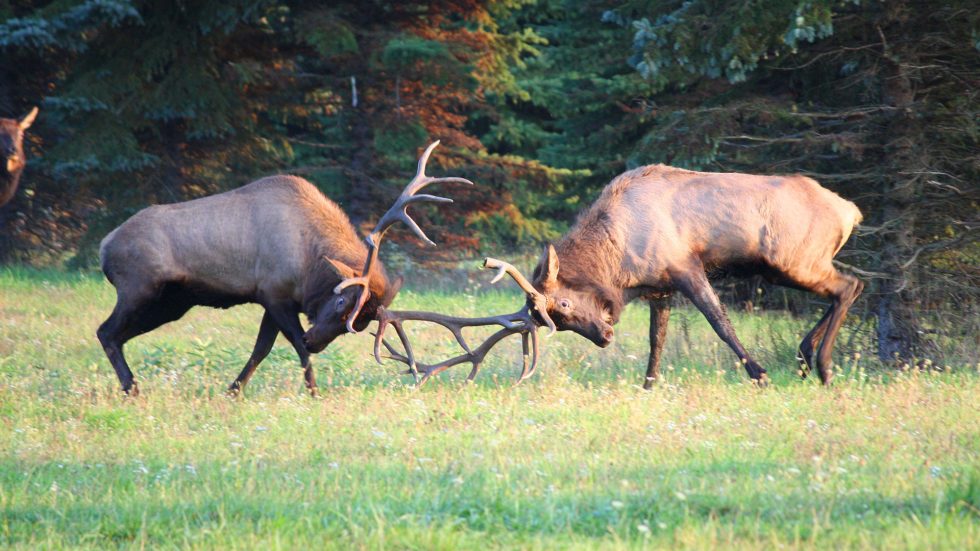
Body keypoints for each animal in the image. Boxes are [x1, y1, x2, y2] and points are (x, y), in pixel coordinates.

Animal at [97, 141, 471, 396]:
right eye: (341, 301)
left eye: (360, 323)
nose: (316, 339)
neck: (309, 264)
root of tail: (105, 246)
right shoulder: (274, 293)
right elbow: (291, 348)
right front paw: (314, 392)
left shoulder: (275, 299)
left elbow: (261, 349)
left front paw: (234, 390)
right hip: (139, 290)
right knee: (106, 331)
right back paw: (131, 388)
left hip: (172, 303)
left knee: (118, 335)